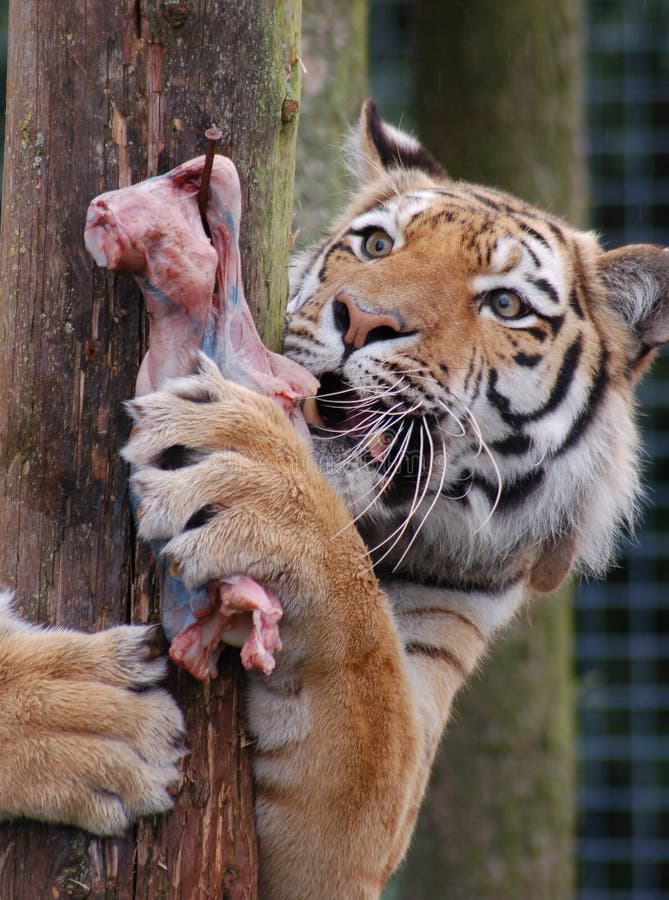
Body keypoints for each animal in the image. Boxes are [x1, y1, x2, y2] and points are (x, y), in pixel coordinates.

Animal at [3, 99, 669, 899]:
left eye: (505, 305)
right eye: (377, 243)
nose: (362, 318)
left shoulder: (356, 829)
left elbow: (364, 671)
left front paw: (260, 484)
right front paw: (88, 717)